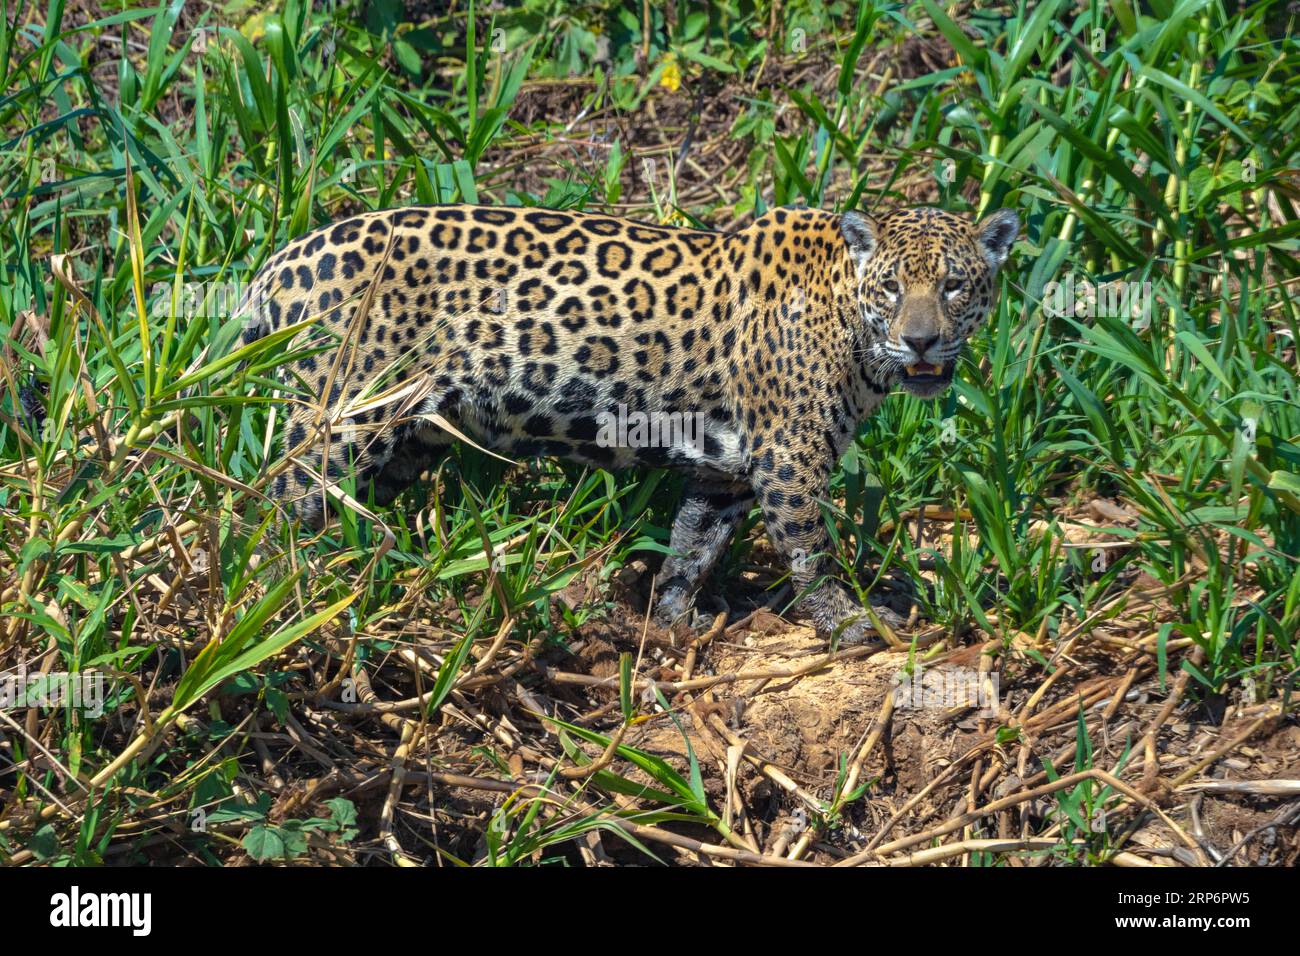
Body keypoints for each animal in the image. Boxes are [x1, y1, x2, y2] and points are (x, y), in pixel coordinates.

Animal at [235, 202, 1019, 645]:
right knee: (273, 506)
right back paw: (279, 594)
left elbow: (693, 547)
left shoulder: (727, 470)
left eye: (954, 285)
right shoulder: (788, 457)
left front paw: (672, 622)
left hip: (405, 435)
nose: (921, 341)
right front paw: (850, 623)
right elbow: (809, 551)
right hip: (341, 415)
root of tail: (277, 261)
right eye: (892, 288)